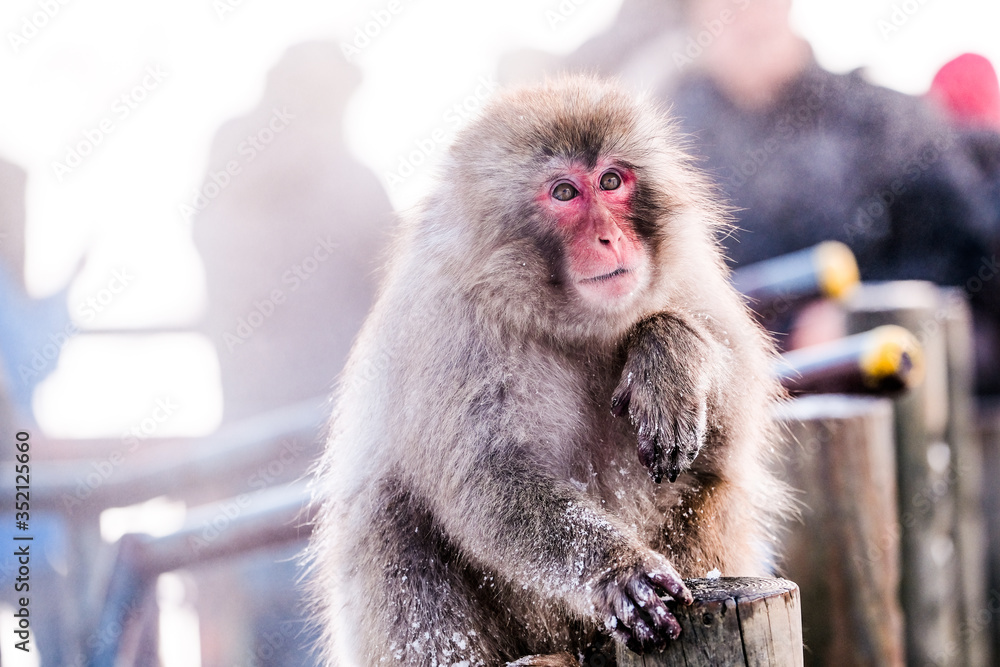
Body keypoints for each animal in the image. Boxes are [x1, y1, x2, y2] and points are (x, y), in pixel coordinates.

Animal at [305, 76, 789, 666]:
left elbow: (734, 424)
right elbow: (488, 479)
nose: (609, 237)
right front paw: (616, 571)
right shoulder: (449, 328)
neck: (567, 322)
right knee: (384, 511)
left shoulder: (687, 275)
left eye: (611, 181)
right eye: (563, 193)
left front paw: (668, 363)